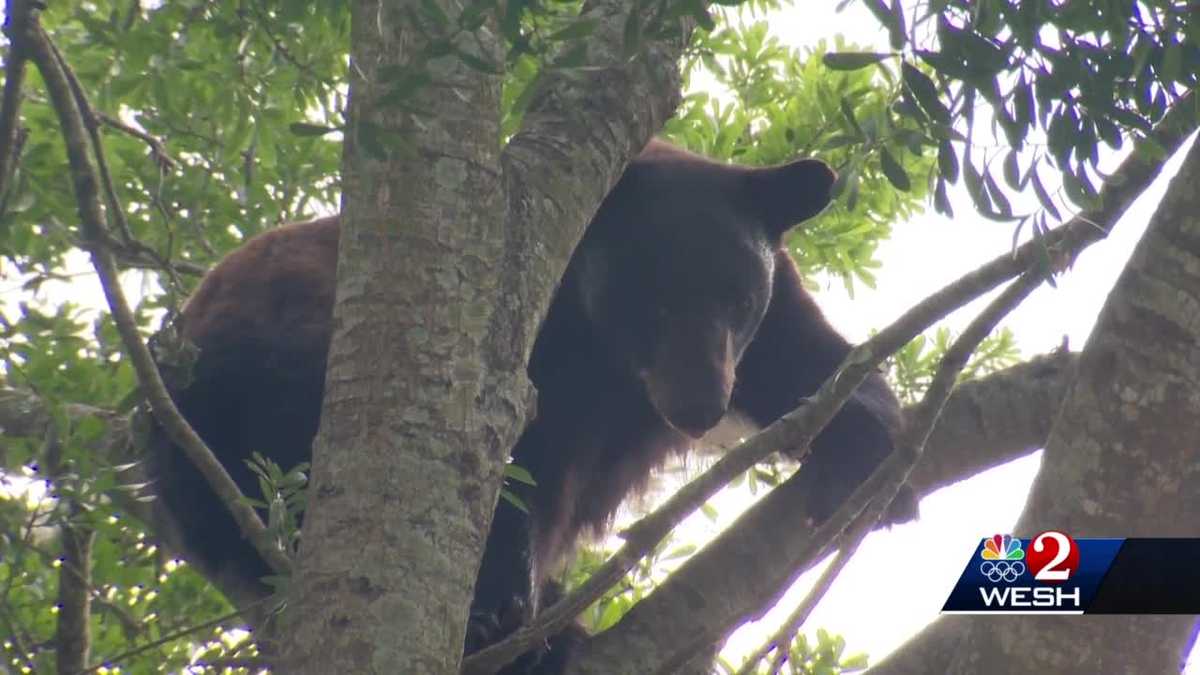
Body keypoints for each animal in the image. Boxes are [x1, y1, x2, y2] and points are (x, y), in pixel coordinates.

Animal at [144, 138, 915, 673]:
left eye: (736, 298)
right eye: (654, 301)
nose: (700, 405)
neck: (608, 360)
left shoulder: (764, 316)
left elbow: (811, 362)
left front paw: (871, 448)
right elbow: (510, 460)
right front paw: (501, 610)